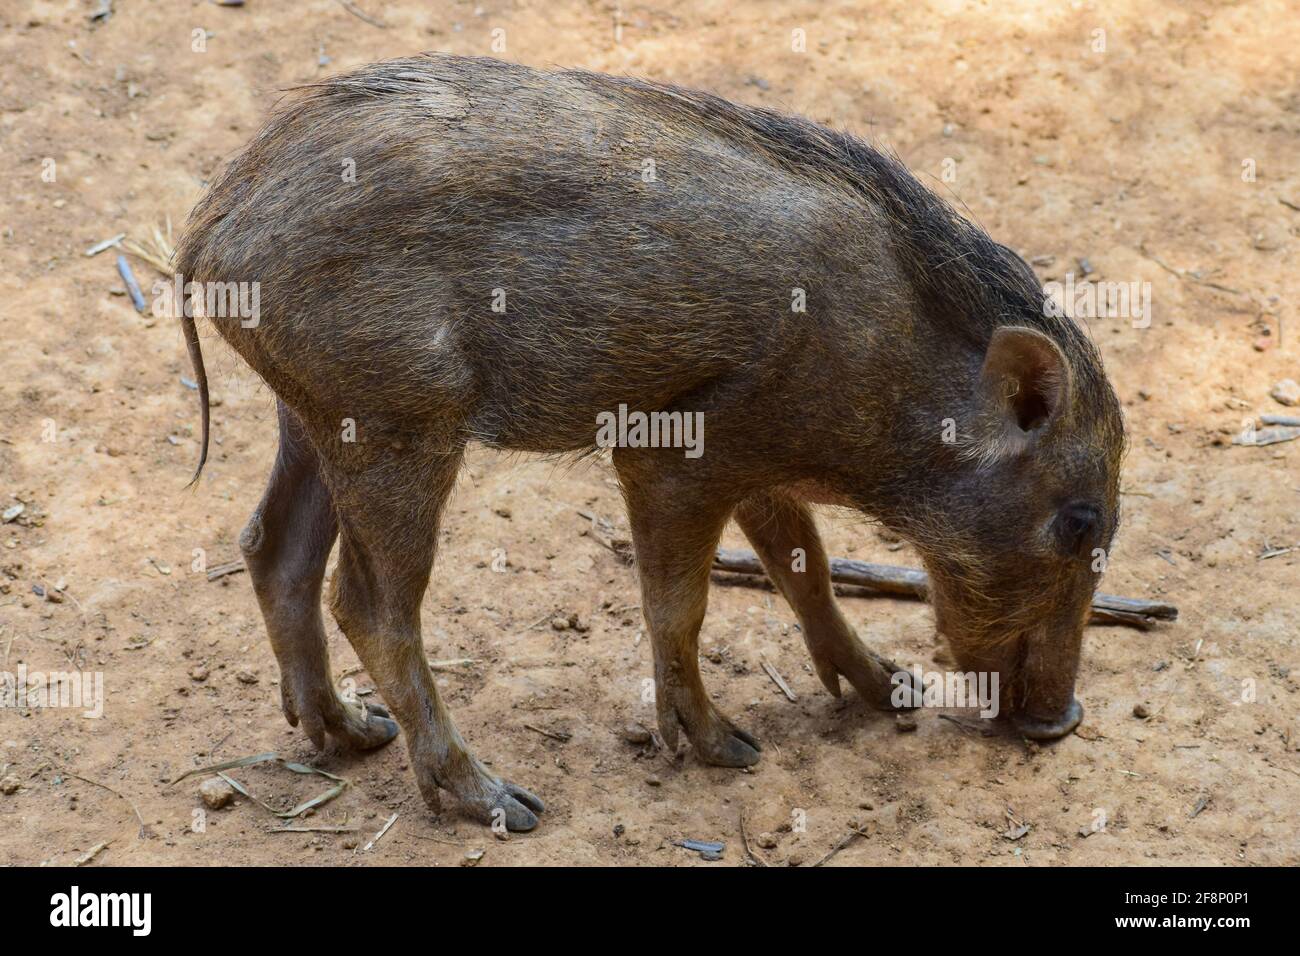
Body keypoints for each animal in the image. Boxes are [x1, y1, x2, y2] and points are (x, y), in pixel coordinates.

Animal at [175, 54, 1126, 831]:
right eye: (1079, 522)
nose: (1062, 722)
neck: (894, 366)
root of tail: (213, 224)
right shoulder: (673, 455)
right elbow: (682, 604)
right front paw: (724, 748)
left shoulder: (756, 461)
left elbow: (804, 567)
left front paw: (891, 689)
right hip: (395, 430)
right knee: (369, 607)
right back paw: (500, 803)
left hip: (314, 417)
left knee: (271, 548)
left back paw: (347, 735)